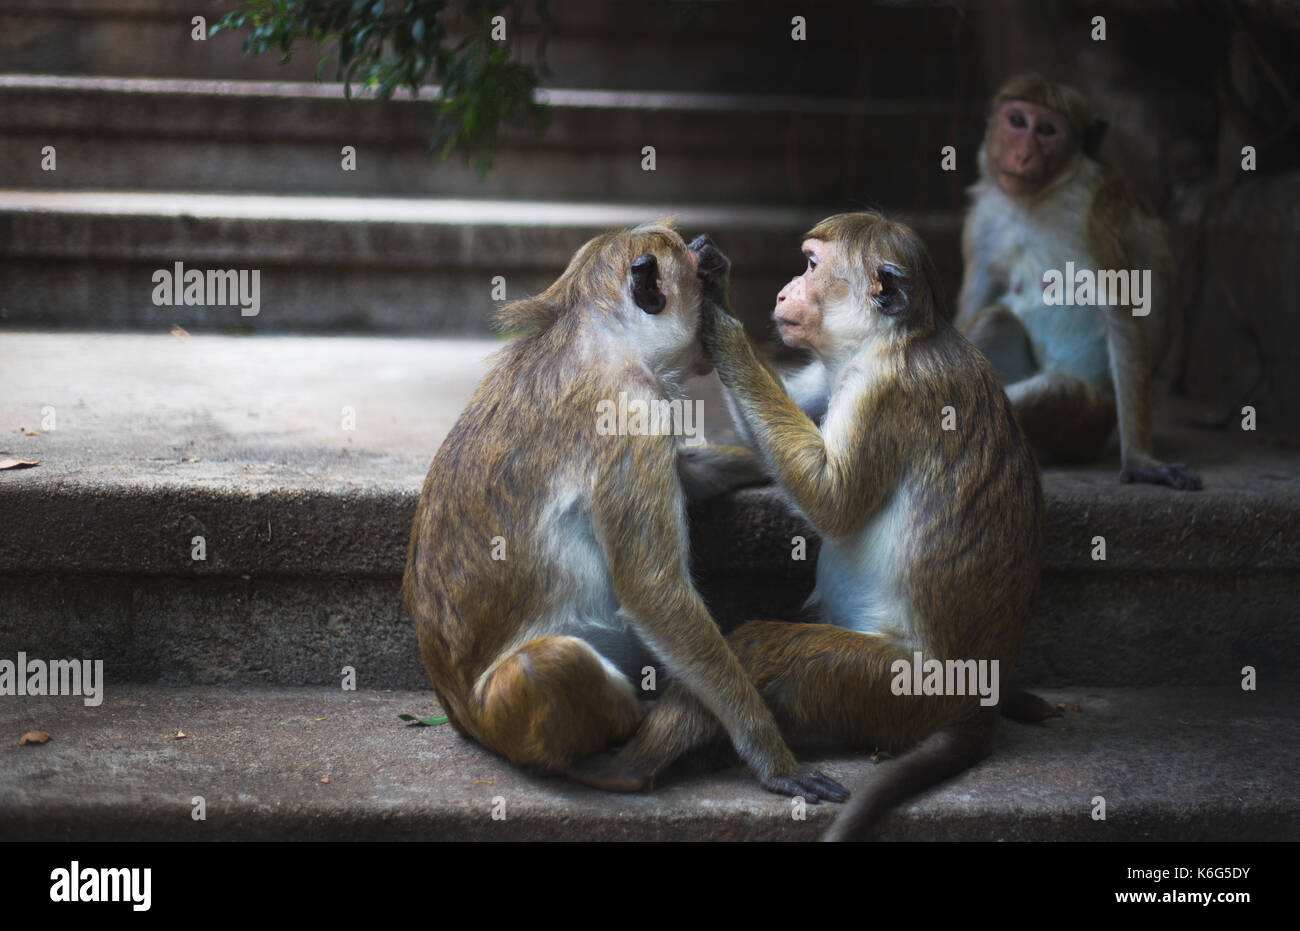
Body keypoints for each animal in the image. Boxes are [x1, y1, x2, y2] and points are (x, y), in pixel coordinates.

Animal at [402, 221, 848, 804]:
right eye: (697, 273)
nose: (706, 252)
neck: (597, 338)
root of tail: (457, 717)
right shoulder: (634, 416)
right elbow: (653, 590)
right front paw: (771, 755)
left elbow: (686, 475)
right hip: (501, 720)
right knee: (548, 665)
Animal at [573, 214, 1045, 841]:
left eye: (814, 266)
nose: (783, 292)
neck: (891, 339)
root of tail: (975, 704)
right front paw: (715, 280)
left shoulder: (884, 389)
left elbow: (832, 501)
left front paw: (718, 321)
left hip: (895, 688)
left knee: (762, 646)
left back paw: (630, 770)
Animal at [957, 73, 1200, 490]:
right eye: (1017, 121)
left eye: (1048, 130)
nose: (1022, 156)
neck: (1034, 199)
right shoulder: (982, 222)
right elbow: (972, 307)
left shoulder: (1088, 216)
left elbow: (1120, 317)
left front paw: (1142, 461)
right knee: (994, 319)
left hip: (1090, 425)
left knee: (1058, 390)